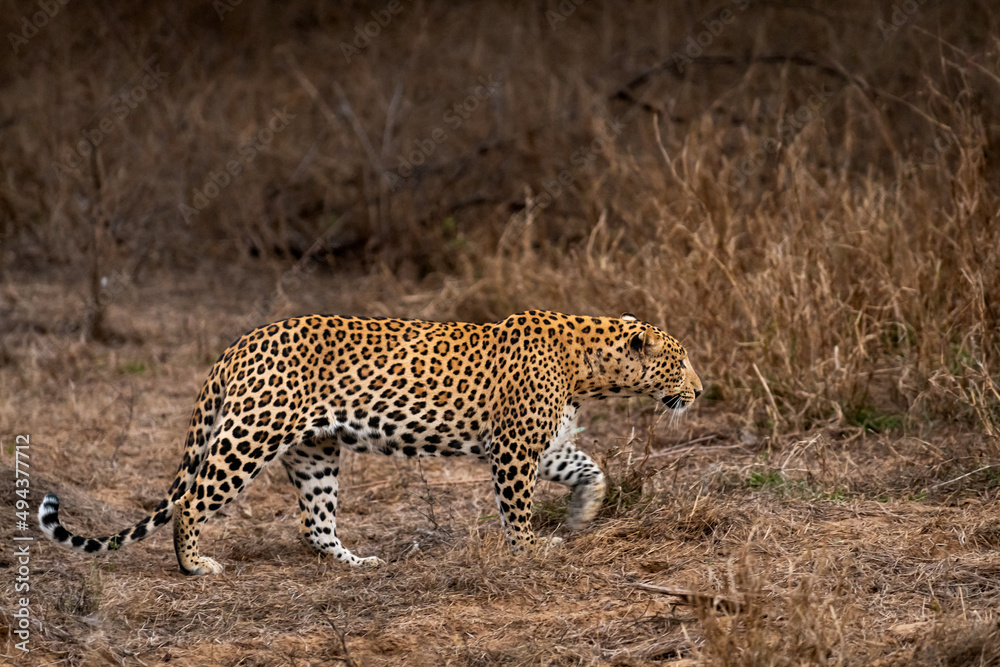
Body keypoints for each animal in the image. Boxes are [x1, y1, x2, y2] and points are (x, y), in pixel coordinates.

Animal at [39, 310, 702, 575]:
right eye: (679, 361)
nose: (699, 390)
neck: (589, 367)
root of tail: (237, 345)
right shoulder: (514, 449)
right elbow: (516, 509)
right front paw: (528, 550)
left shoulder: (543, 443)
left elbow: (592, 469)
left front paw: (581, 516)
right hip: (250, 435)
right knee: (194, 500)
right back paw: (193, 564)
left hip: (315, 452)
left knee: (315, 522)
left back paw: (355, 563)